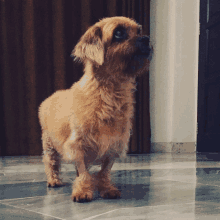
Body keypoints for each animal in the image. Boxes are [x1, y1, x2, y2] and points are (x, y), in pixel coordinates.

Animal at [38, 16, 151, 203]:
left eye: (139, 31)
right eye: (118, 33)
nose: (146, 39)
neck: (109, 93)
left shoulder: (113, 145)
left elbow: (104, 172)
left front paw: (106, 189)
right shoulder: (77, 145)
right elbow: (83, 172)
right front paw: (83, 191)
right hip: (49, 144)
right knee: (51, 162)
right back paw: (54, 180)